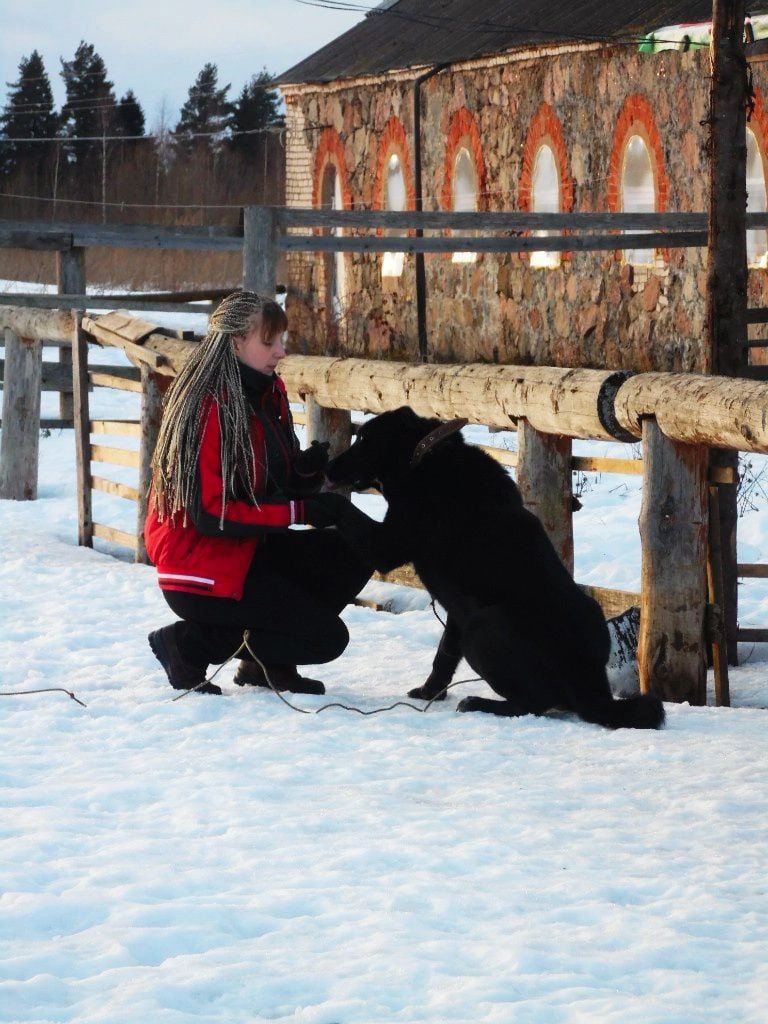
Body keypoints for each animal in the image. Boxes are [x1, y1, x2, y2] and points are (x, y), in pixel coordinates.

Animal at [309, 403, 663, 733]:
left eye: (364, 439)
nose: (327, 467)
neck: (424, 456)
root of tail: (591, 685)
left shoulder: (387, 545)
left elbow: (343, 508)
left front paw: (317, 502)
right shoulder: (456, 612)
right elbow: (443, 656)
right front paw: (429, 692)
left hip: (482, 628)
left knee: (536, 702)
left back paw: (480, 703)